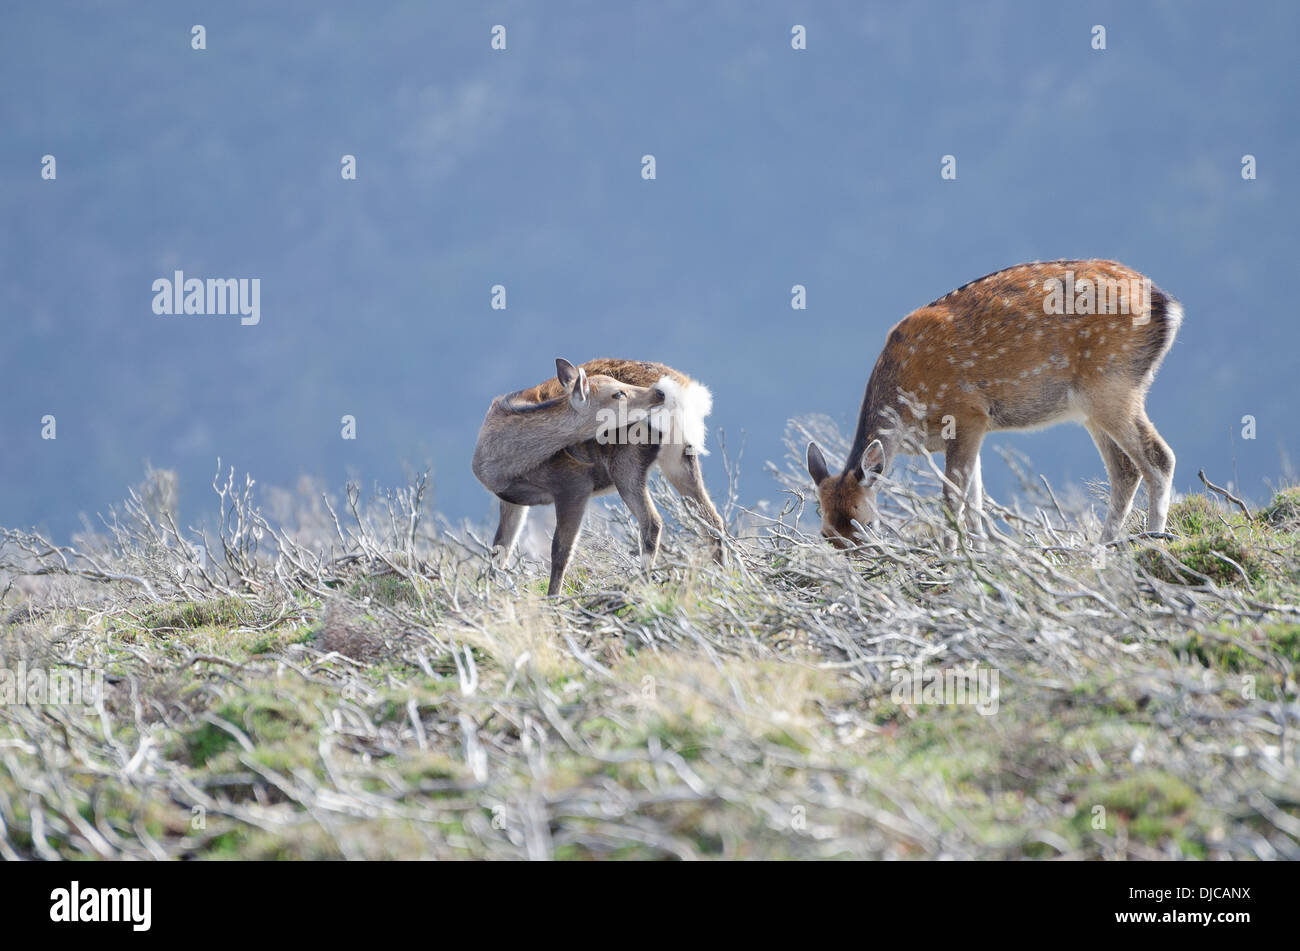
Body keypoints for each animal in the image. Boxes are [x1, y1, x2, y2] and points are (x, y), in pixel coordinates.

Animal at [473, 357, 725, 595]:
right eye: (617, 393)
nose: (658, 392)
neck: (503, 466)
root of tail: (686, 393)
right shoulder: (511, 499)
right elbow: (499, 551)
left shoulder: (574, 484)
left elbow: (560, 551)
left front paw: (553, 600)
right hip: (679, 456)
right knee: (711, 520)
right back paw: (723, 575)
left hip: (626, 462)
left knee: (653, 522)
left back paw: (641, 585)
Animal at [805, 260, 1183, 550]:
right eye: (826, 533)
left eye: (868, 522)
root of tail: (1168, 305)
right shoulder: (970, 429)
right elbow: (975, 501)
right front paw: (981, 551)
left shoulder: (968, 413)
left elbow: (953, 498)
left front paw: (951, 554)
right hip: (1094, 403)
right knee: (1125, 469)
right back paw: (1104, 544)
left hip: (1111, 383)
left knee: (1159, 457)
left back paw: (1153, 540)